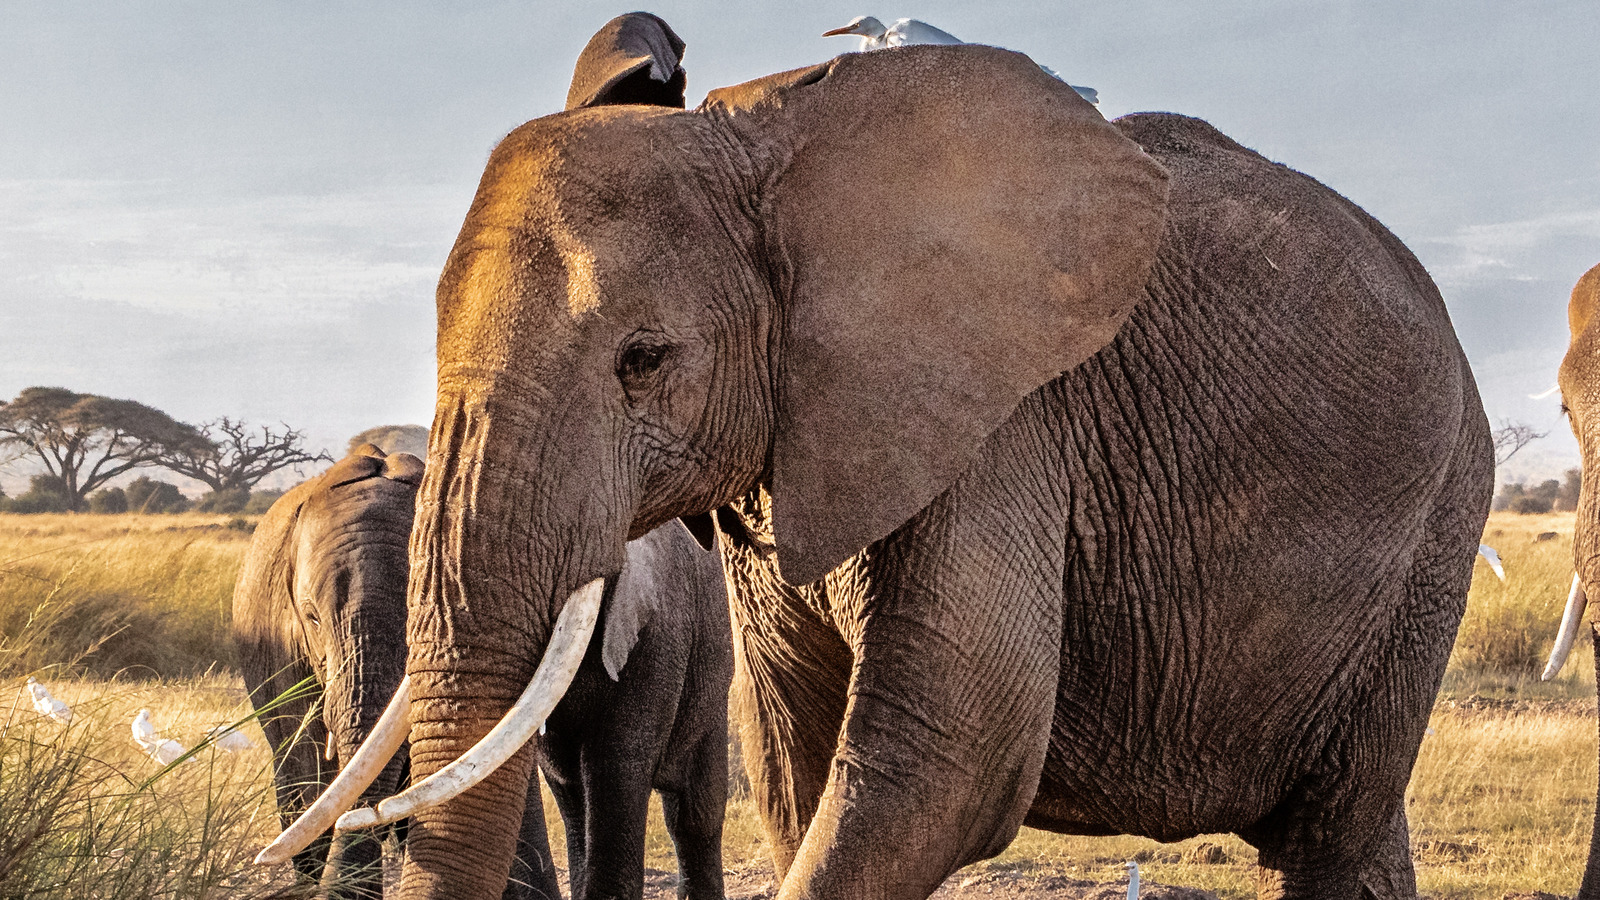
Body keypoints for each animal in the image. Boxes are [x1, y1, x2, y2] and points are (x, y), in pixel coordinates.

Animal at [313, 37, 1491, 900]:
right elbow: (793, 759)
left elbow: (948, 763)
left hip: (1436, 526)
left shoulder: (999, 426)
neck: (767, 142)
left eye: (644, 360)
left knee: (1328, 836)